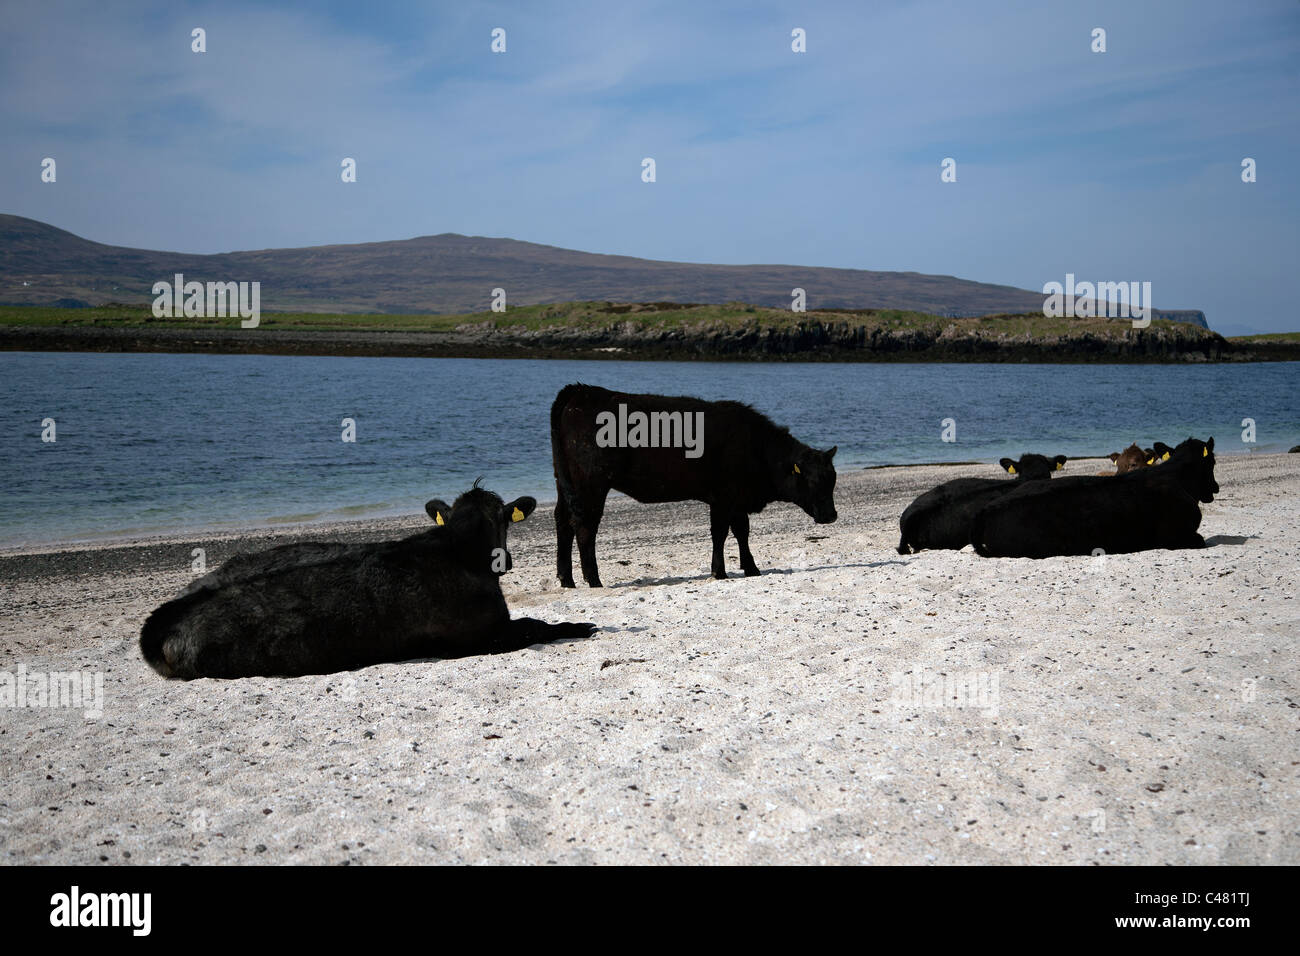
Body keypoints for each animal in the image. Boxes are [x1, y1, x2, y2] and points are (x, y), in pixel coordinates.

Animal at [140, 484, 596, 679]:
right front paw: (581, 625)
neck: (457, 548)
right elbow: (536, 625)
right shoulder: (482, 635)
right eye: (505, 523)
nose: (507, 563)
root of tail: (166, 617)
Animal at [550, 383, 838, 586]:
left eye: (832, 480)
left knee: (563, 521)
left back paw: (567, 579)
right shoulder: (723, 497)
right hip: (591, 486)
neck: (757, 447)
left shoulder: (737, 500)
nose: (831, 516)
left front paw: (751, 569)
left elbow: (742, 531)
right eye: (814, 481)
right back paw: (593, 580)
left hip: (565, 484)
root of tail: (580, 391)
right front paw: (719, 571)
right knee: (584, 527)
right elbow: (720, 533)